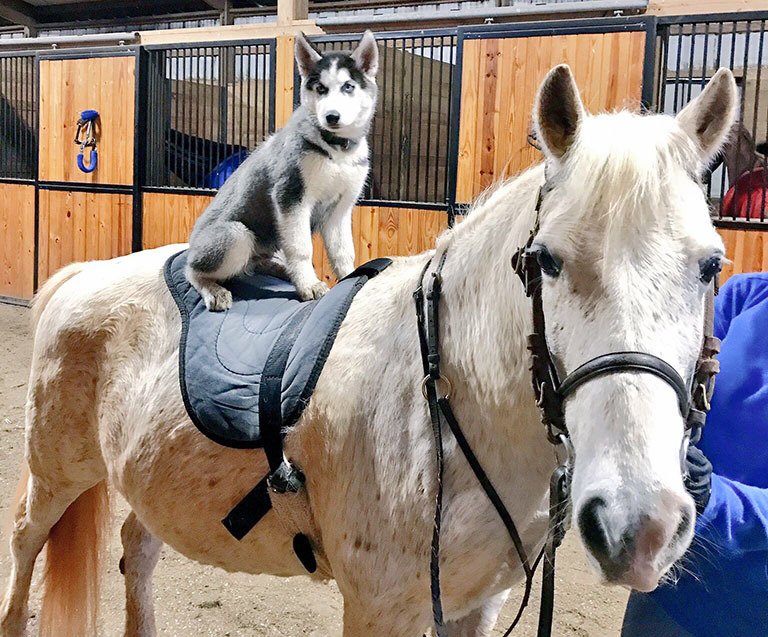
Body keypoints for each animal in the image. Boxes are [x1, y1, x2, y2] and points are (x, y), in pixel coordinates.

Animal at [0, 64, 737, 637]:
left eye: (710, 266)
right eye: (547, 261)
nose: (640, 524)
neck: (446, 400)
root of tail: (83, 274)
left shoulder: (476, 604)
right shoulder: (381, 607)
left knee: (139, 547)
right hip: (57, 471)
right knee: (27, 538)